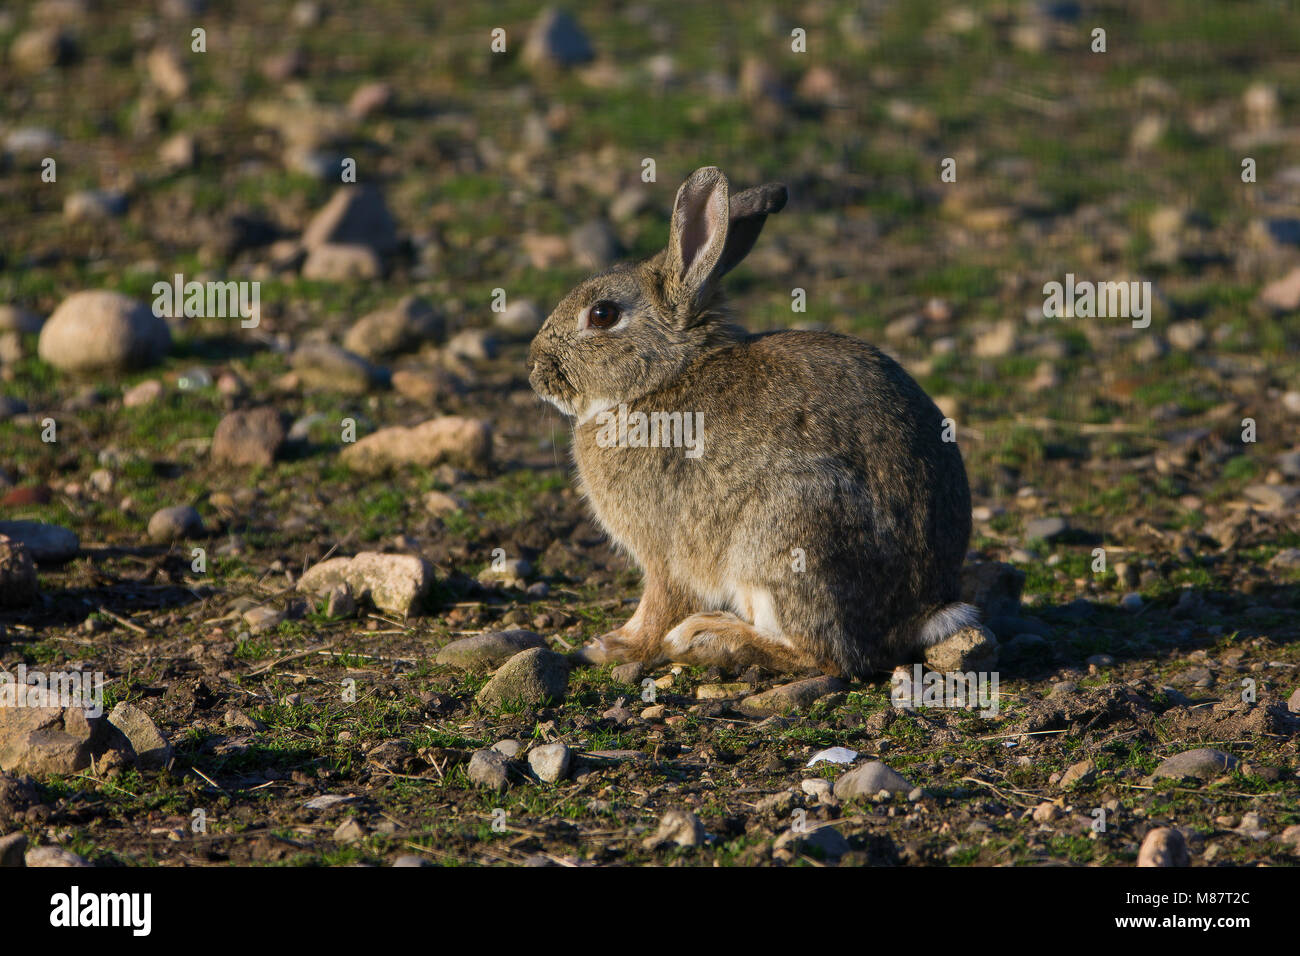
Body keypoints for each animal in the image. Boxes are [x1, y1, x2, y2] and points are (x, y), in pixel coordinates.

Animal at [527, 166, 975, 679]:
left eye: (602, 314)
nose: (533, 369)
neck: (665, 376)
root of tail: (921, 614)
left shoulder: (665, 553)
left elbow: (658, 606)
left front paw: (612, 647)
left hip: (785, 539)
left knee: (826, 655)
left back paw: (706, 638)